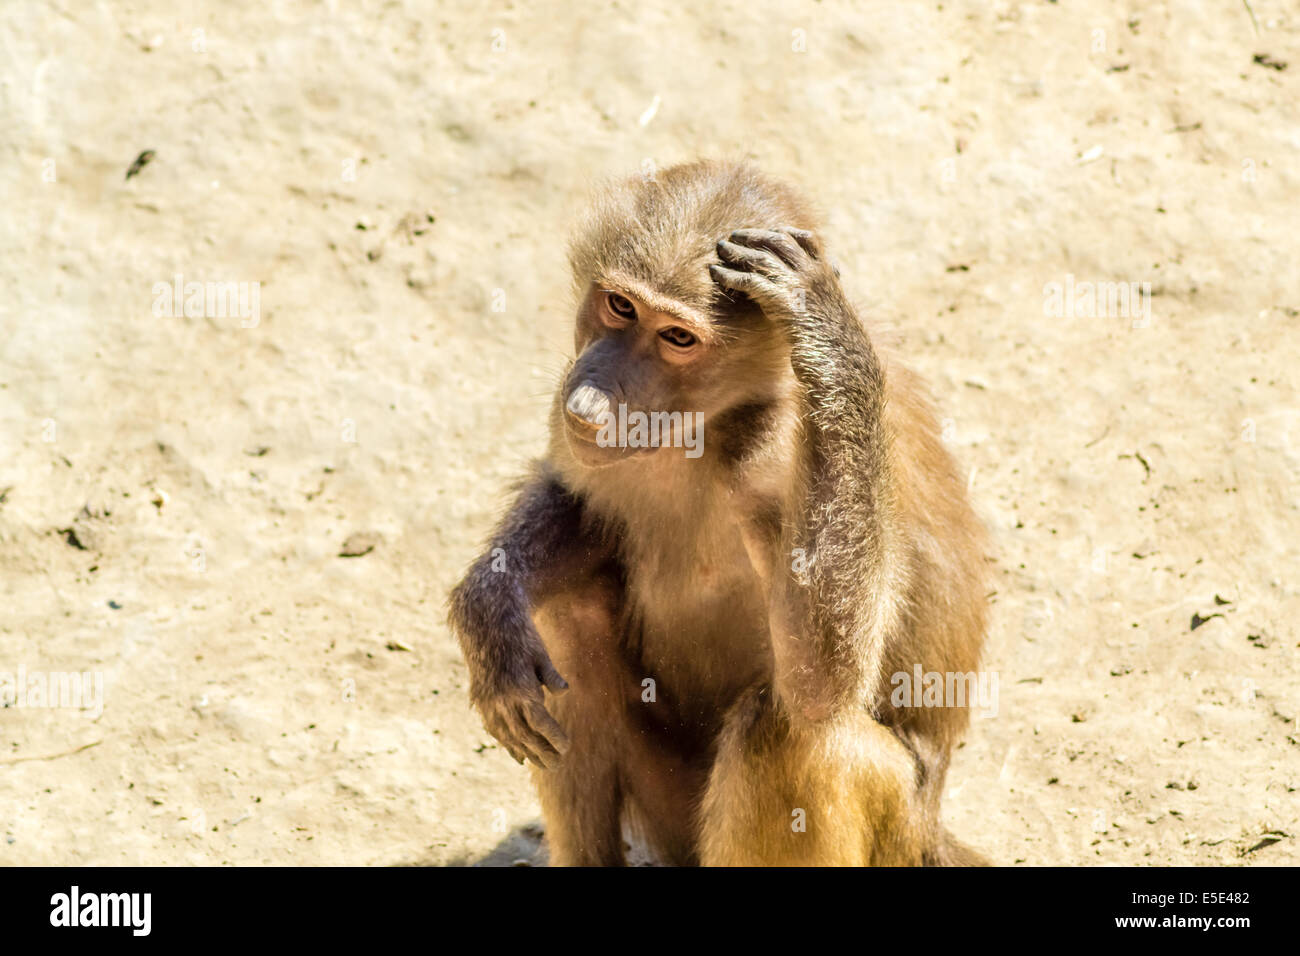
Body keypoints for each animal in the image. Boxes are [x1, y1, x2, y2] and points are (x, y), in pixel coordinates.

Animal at [448, 160, 989, 866]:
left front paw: (825, 328)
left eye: (678, 337)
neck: (720, 420)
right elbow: (575, 503)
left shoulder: (774, 458)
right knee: (567, 613)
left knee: (780, 728)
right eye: (620, 306)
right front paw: (490, 605)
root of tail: (933, 834)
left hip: (895, 833)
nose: (589, 401)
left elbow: (823, 682)